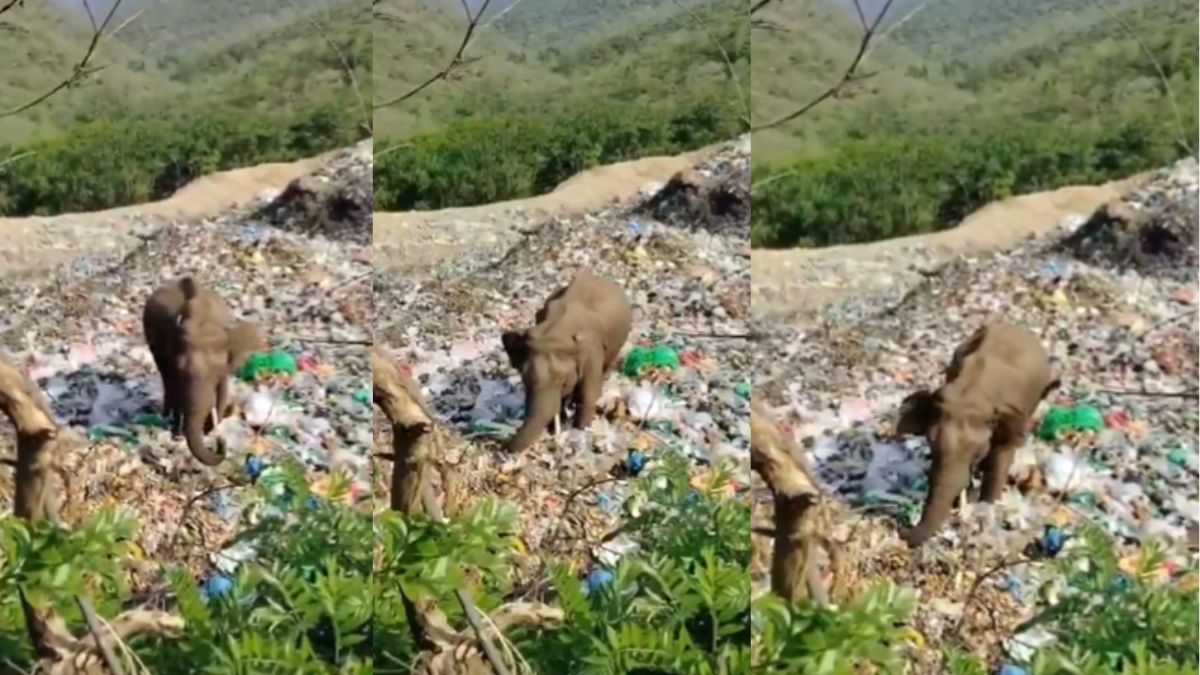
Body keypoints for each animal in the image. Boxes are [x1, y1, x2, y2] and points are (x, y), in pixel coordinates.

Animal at [143, 277, 265, 466]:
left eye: (217, 371)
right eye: (180, 369)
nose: (220, 442)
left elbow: (222, 391)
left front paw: (210, 429)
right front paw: (178, 433)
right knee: (166, 382)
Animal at [501, 273, 632, 453]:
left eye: (562, 381)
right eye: (524, 379)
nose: (503, 446)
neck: (555, 332)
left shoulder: (592, 350)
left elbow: (589, 392)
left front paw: (580, 429)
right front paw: (560, 424)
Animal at [896, 322, 1058, 547]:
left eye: (976, 453)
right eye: (931, 444)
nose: (902, 530)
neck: (973, 390)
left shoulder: (1014, 416)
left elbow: (1001, 458)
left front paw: (986, 510)